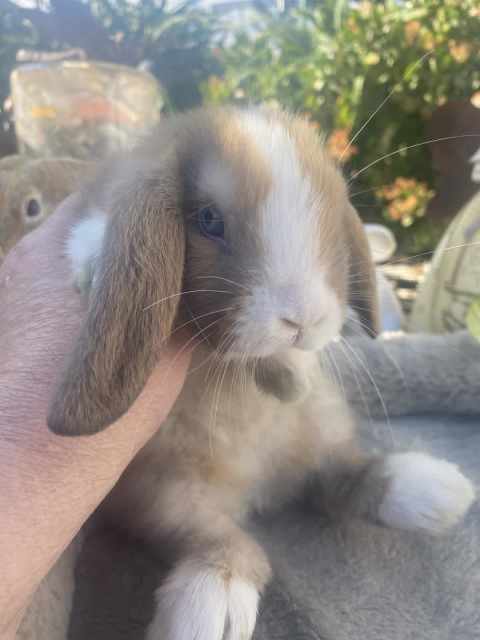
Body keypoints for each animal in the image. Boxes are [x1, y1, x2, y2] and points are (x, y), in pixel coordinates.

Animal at [46, 106, 475, 640]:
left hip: (316, 428)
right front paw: (91, 261)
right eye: (208, 220)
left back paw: (433, 490)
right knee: (222, 539)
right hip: (165, 495)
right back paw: (210, 606)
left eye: (331, 217)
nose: (303, 319)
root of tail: (256, 486)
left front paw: (292, 376)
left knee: (343, 471)